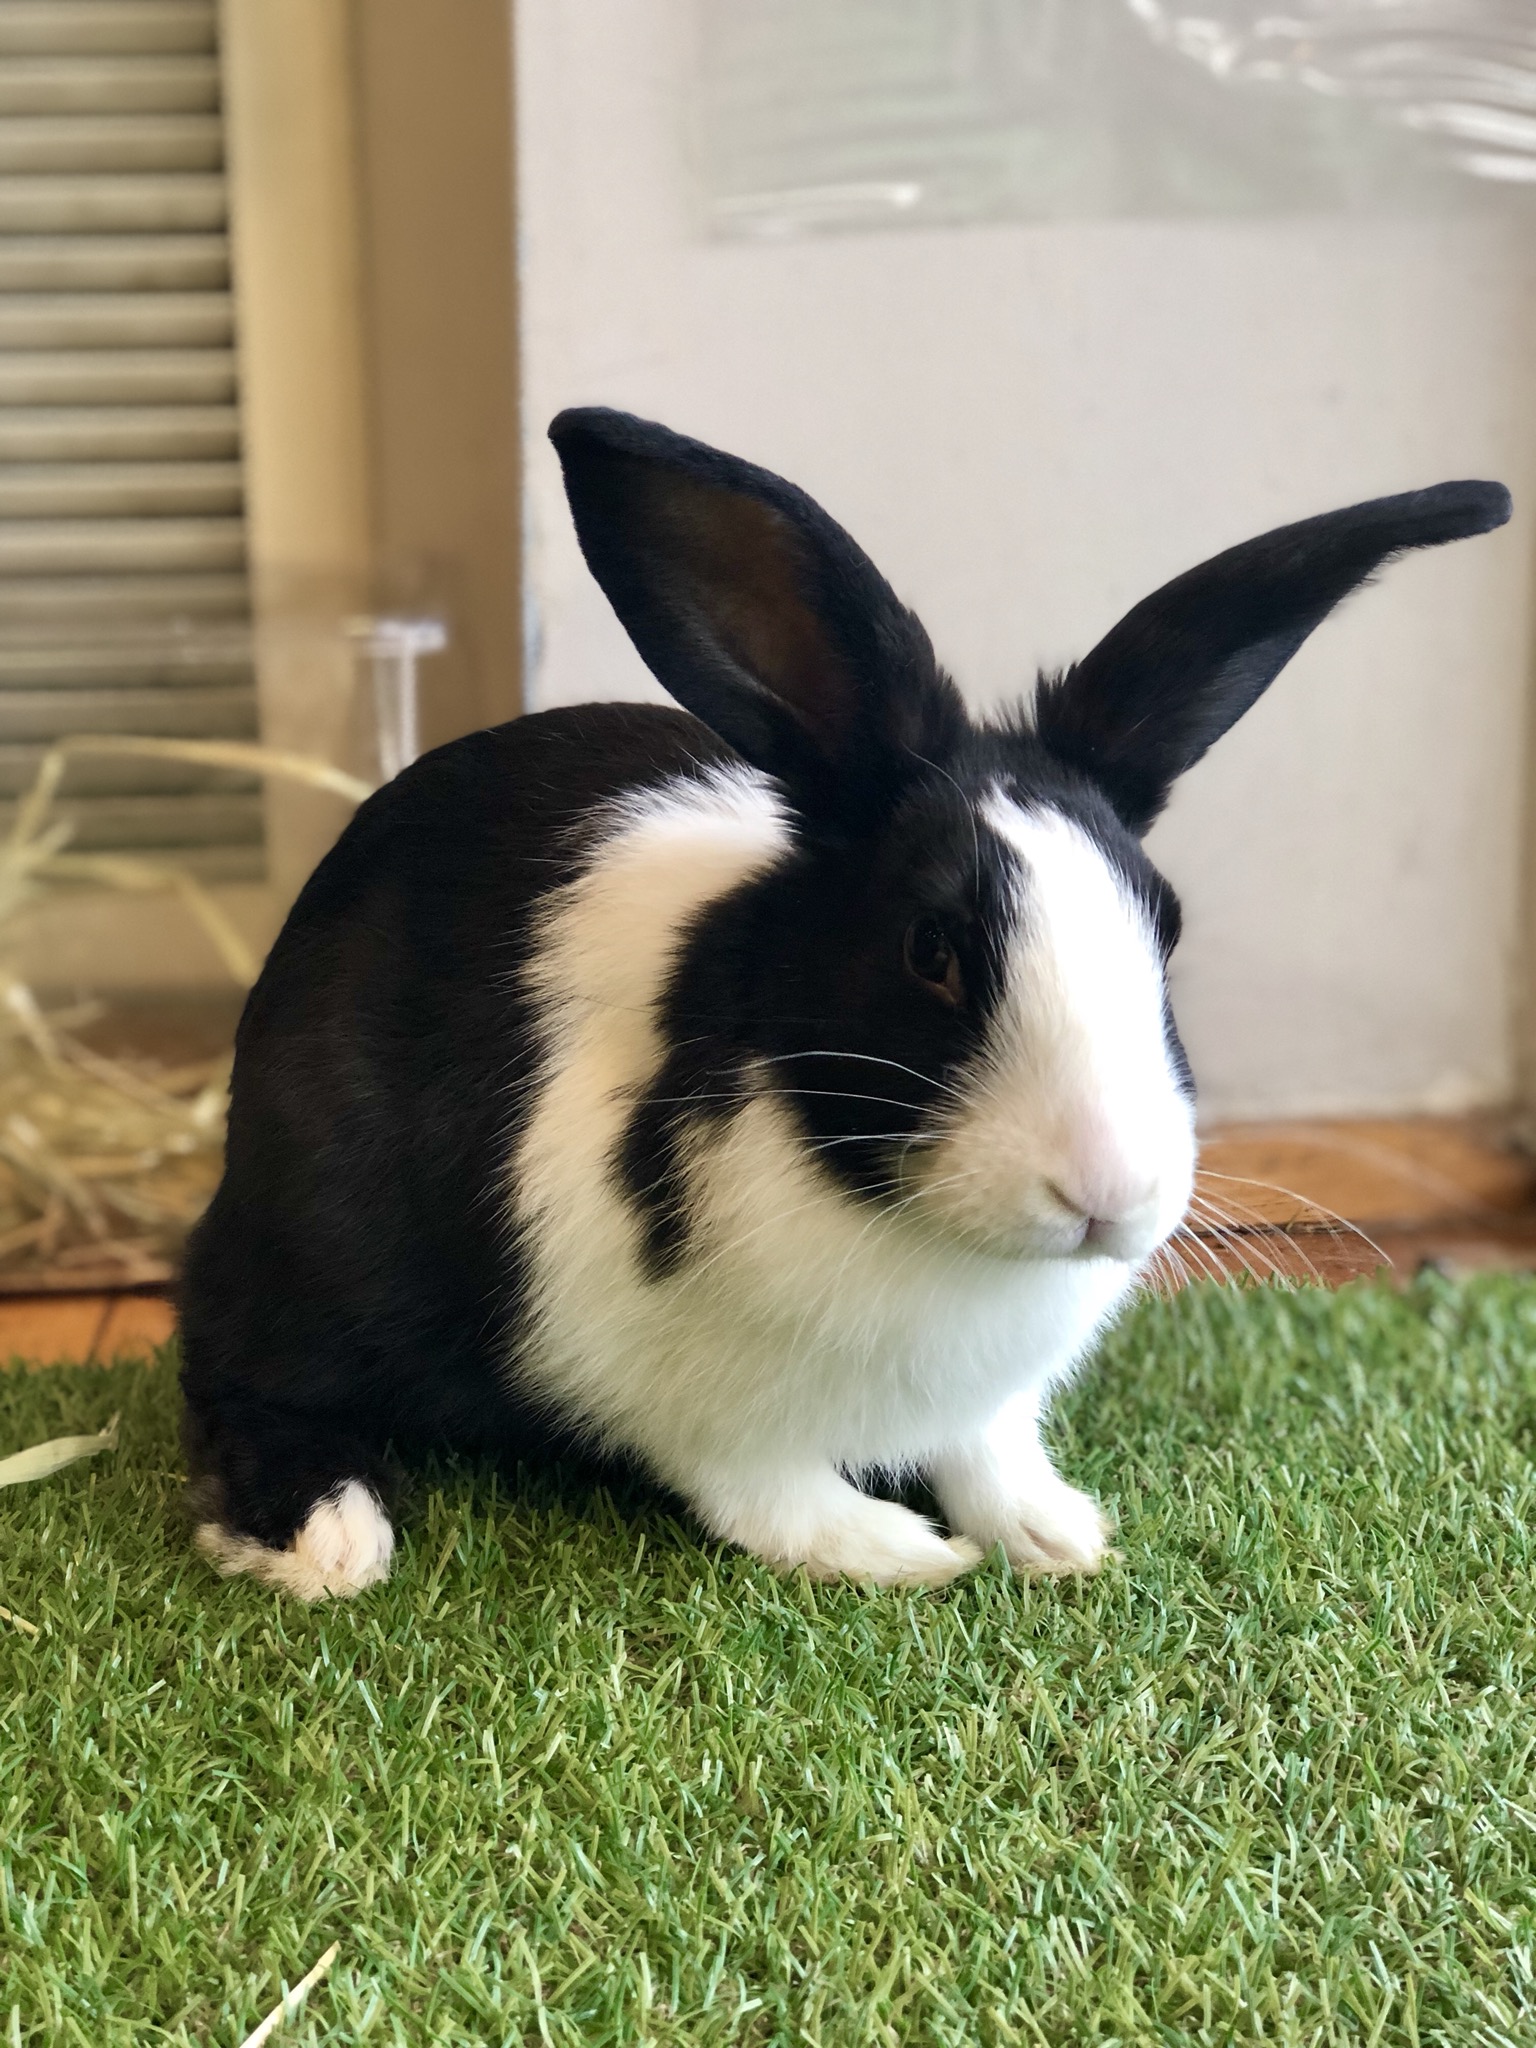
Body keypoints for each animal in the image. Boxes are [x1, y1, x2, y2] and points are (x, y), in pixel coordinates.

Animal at [178, 406, 1510, 1599]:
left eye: (1167, 929)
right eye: (930, 948)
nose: (1108, 1193)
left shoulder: (982, 1404)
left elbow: (989, 1451)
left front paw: (1055, 1532)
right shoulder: (688, 1394)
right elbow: (767, 1492)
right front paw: (902, 1551)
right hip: (318, 1234)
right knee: (231, 1363)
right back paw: (329, 1535)